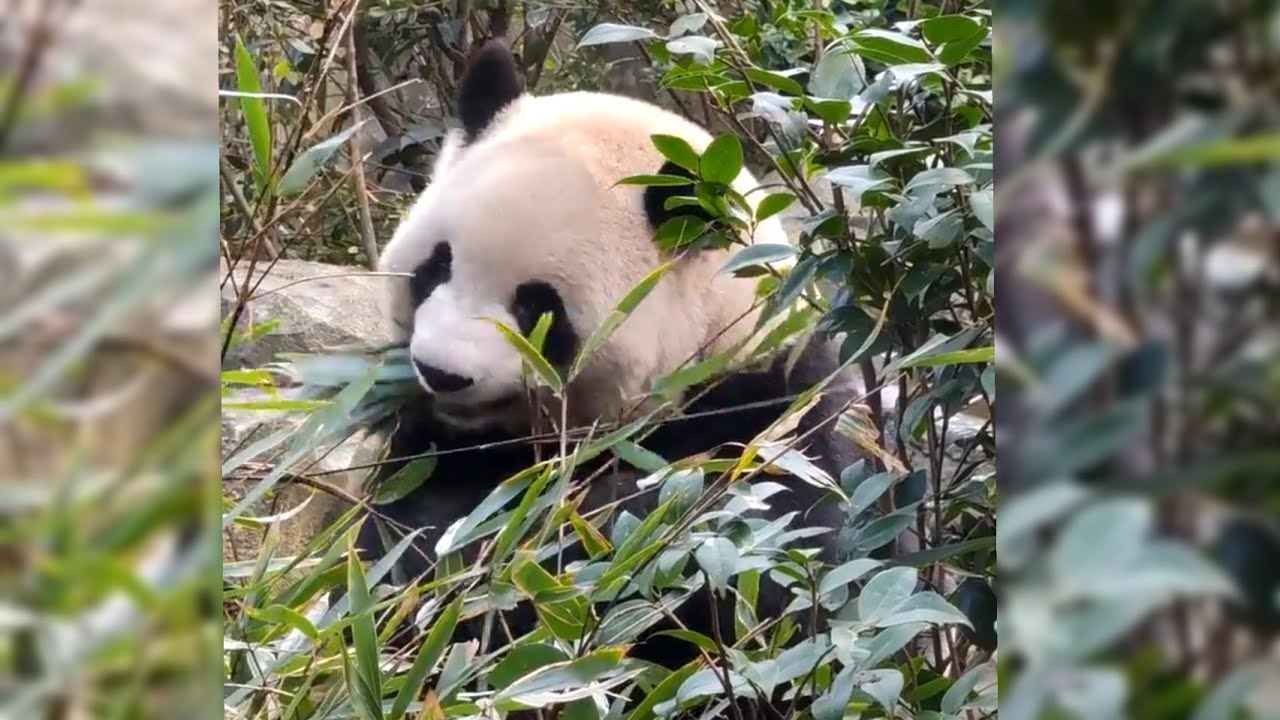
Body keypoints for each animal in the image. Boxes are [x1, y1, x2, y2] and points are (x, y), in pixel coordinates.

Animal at [353, 38, 860, 716]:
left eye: (538, 310)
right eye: (435, 267)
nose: (442, 373)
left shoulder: (764, 425)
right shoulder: (431, 446)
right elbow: (394, 543)